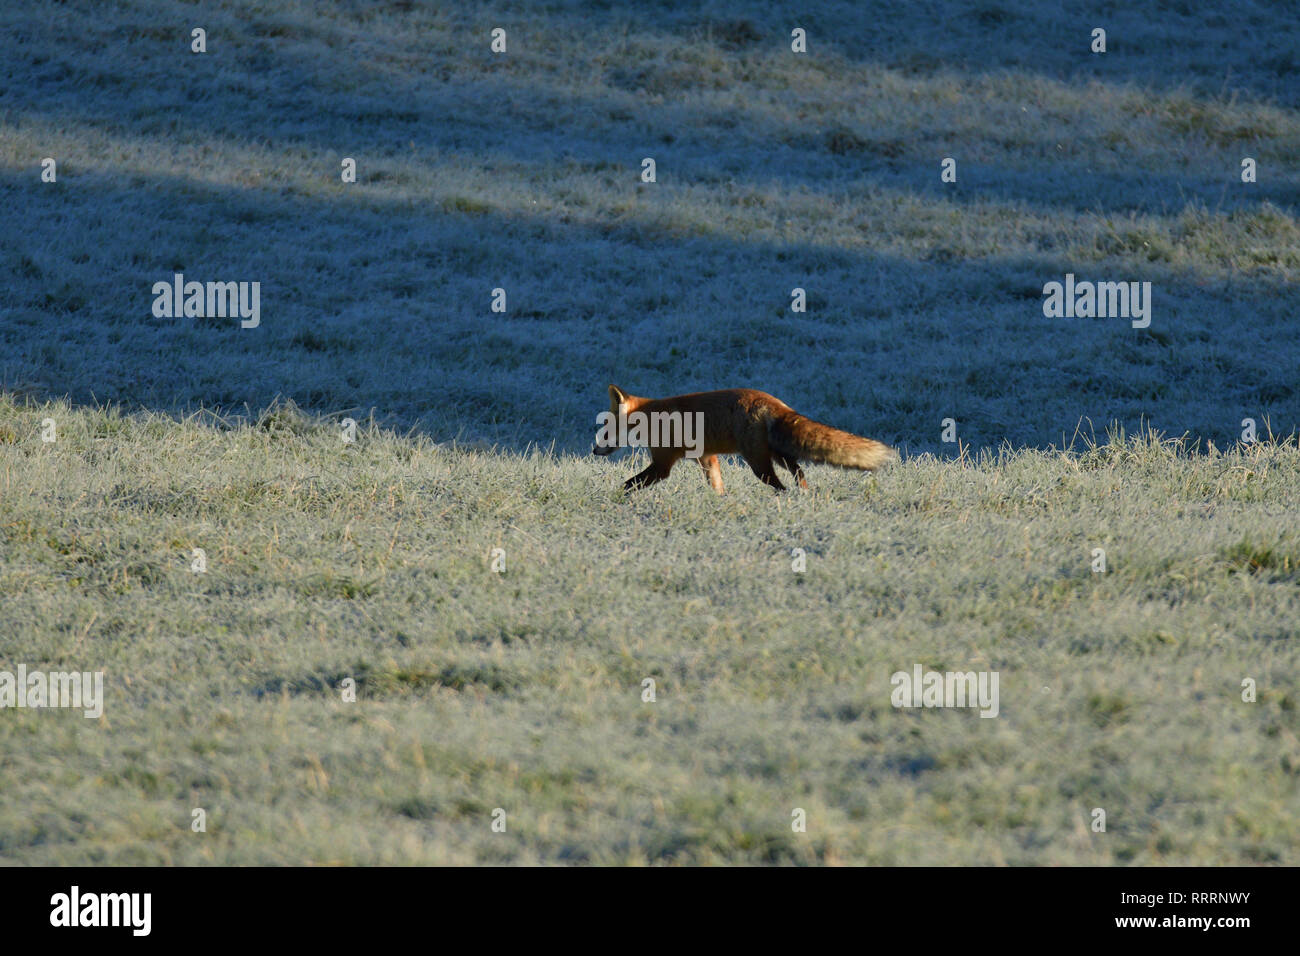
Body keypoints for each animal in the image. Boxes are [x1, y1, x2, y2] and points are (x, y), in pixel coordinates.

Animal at [592, 384, 897, 493]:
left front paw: (615, 499)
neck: (650, 416)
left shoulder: (663, 464)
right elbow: (716, 485)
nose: (594, 451)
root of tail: (777, 403)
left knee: (780, 486)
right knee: (799, 471)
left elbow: (630, 484)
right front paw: (720, 503)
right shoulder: (707, 457)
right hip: (776, 455)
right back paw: (804, 495)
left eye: (605, 433)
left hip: (758, 463)